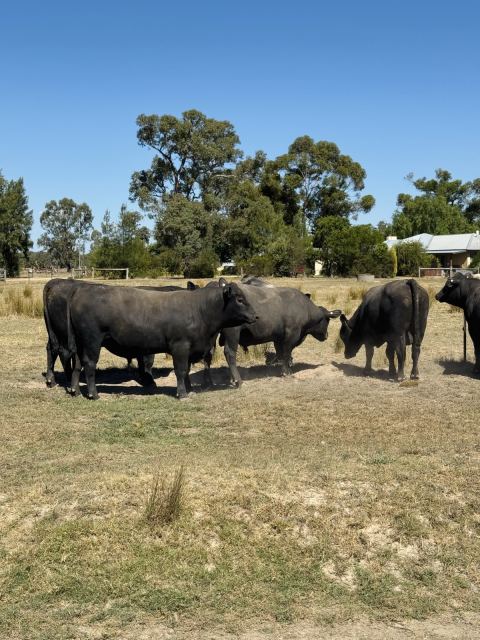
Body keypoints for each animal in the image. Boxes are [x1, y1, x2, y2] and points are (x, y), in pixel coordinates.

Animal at [67, 280, 257, 399]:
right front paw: (182, 393)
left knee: (77, 364)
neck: (199, 310)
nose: (255, 316)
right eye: (240, 299)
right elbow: (180, 370)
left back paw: (76, 391)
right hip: (92, 341)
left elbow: (186, 371)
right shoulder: (180, 346)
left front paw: (189, 389)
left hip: (80, 343)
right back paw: (94, 394)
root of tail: (81, 291)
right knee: (89, 364)